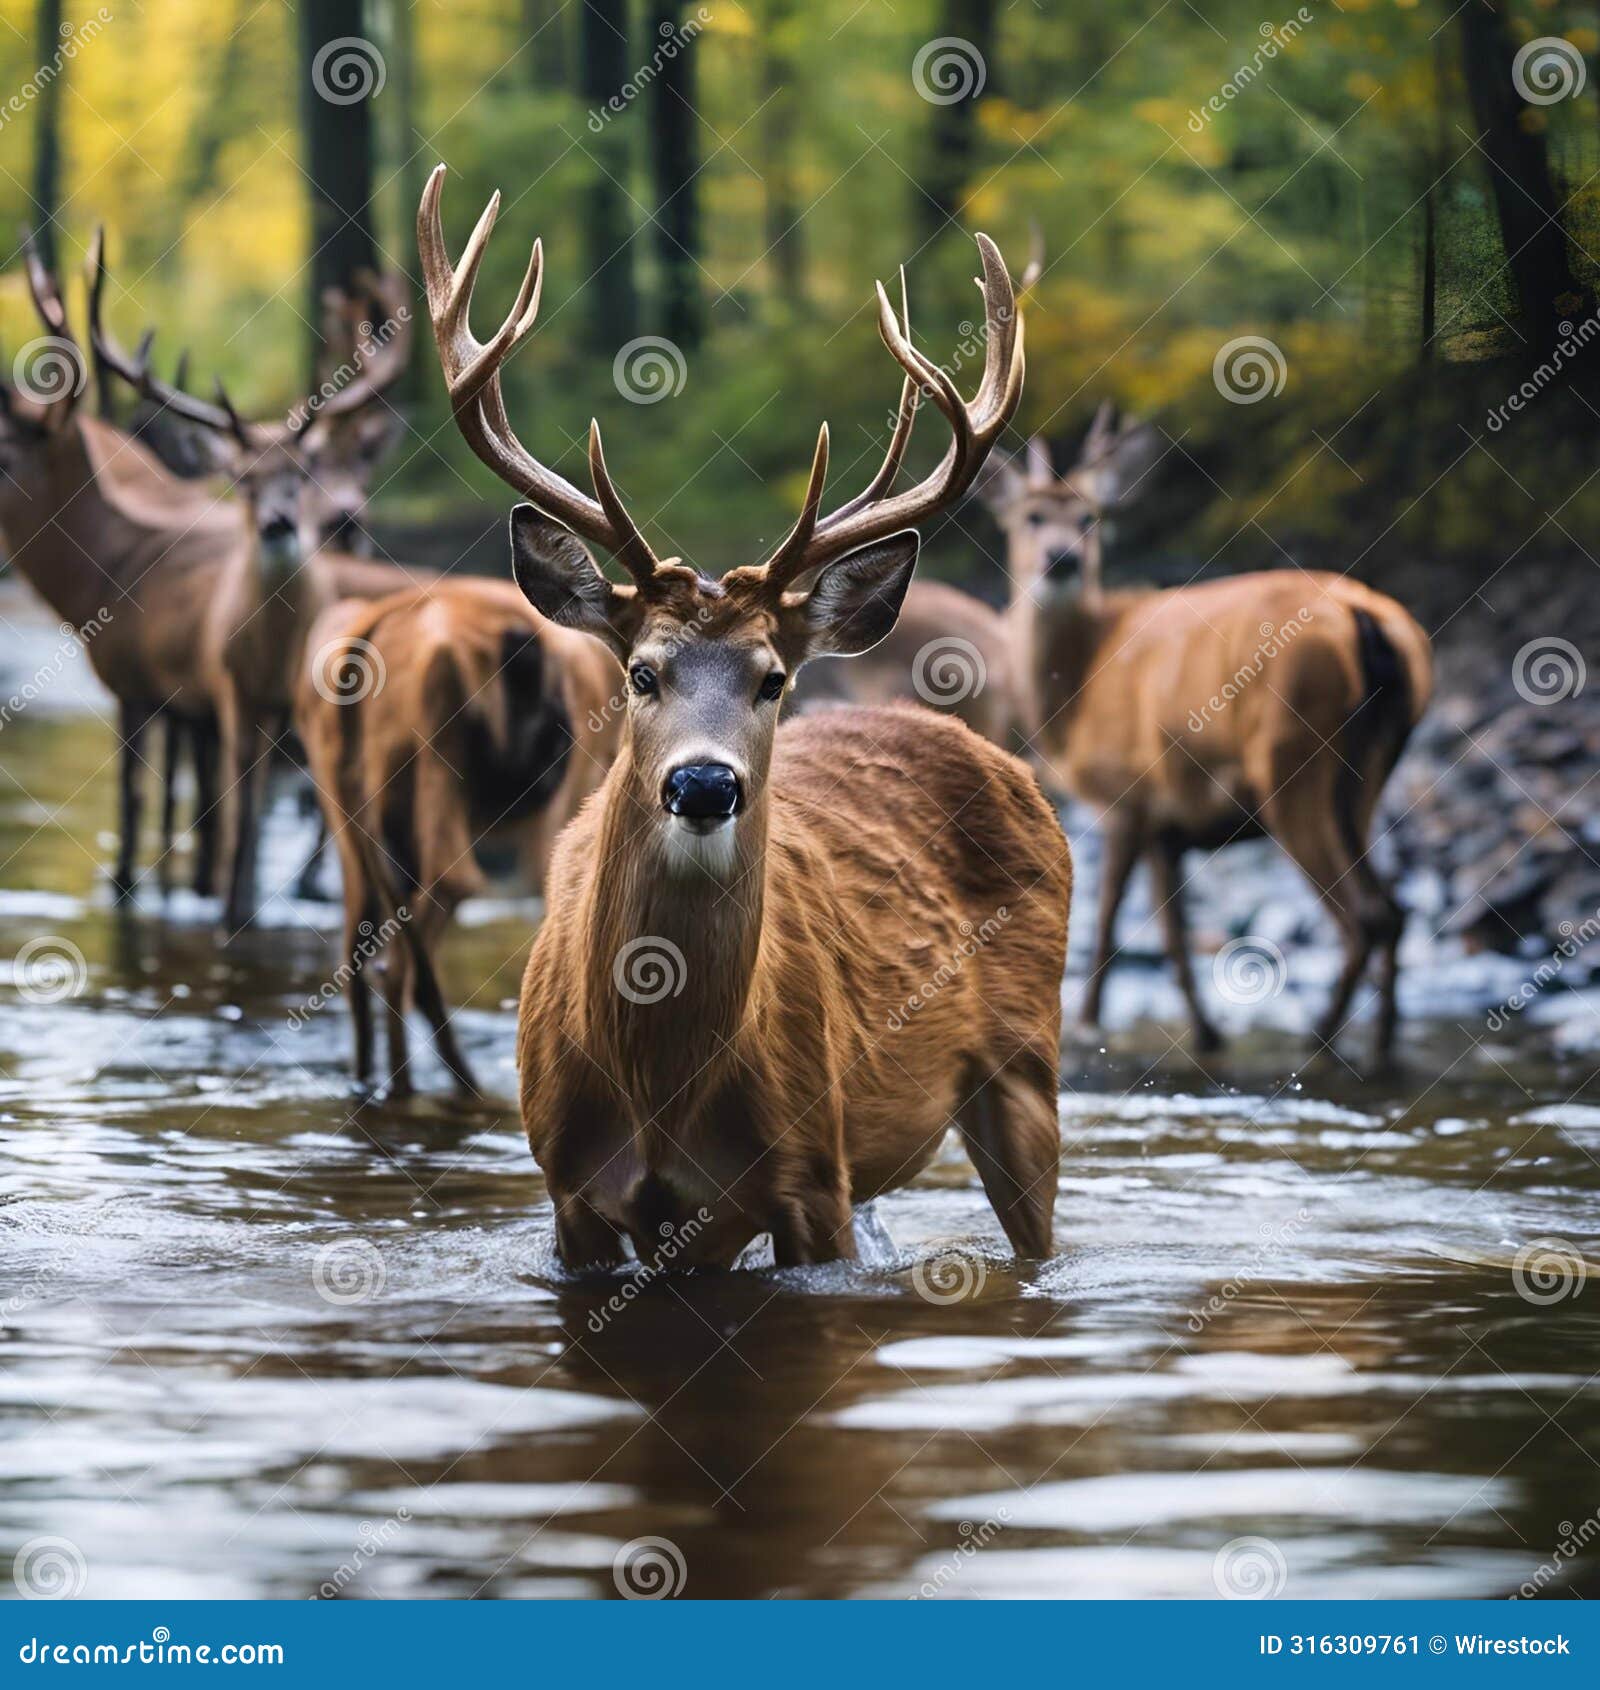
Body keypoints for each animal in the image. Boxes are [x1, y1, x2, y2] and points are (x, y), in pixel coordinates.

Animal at [419, 164, 1070, 1268]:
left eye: (773, 679)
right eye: (641, 671)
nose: (703, 782)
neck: (654, 1085)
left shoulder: (816, 1177)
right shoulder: (566, 1192)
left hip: (1029, 1065)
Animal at [994, 403, 1433, 1065]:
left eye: (1090, 518)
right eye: (1031, 516)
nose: (1060, 558)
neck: (1076, 691)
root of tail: (1365, 618)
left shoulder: (1126, 795)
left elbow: (1107, 917)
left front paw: (1089, 1028)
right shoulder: (1169, 827)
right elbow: (1172, 932)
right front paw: (1206, 1034)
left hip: (1291, 758)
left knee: (1364, 915)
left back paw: (1320, 1043)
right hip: (1369, 773)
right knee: (1395, 909)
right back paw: (1381, 1051)